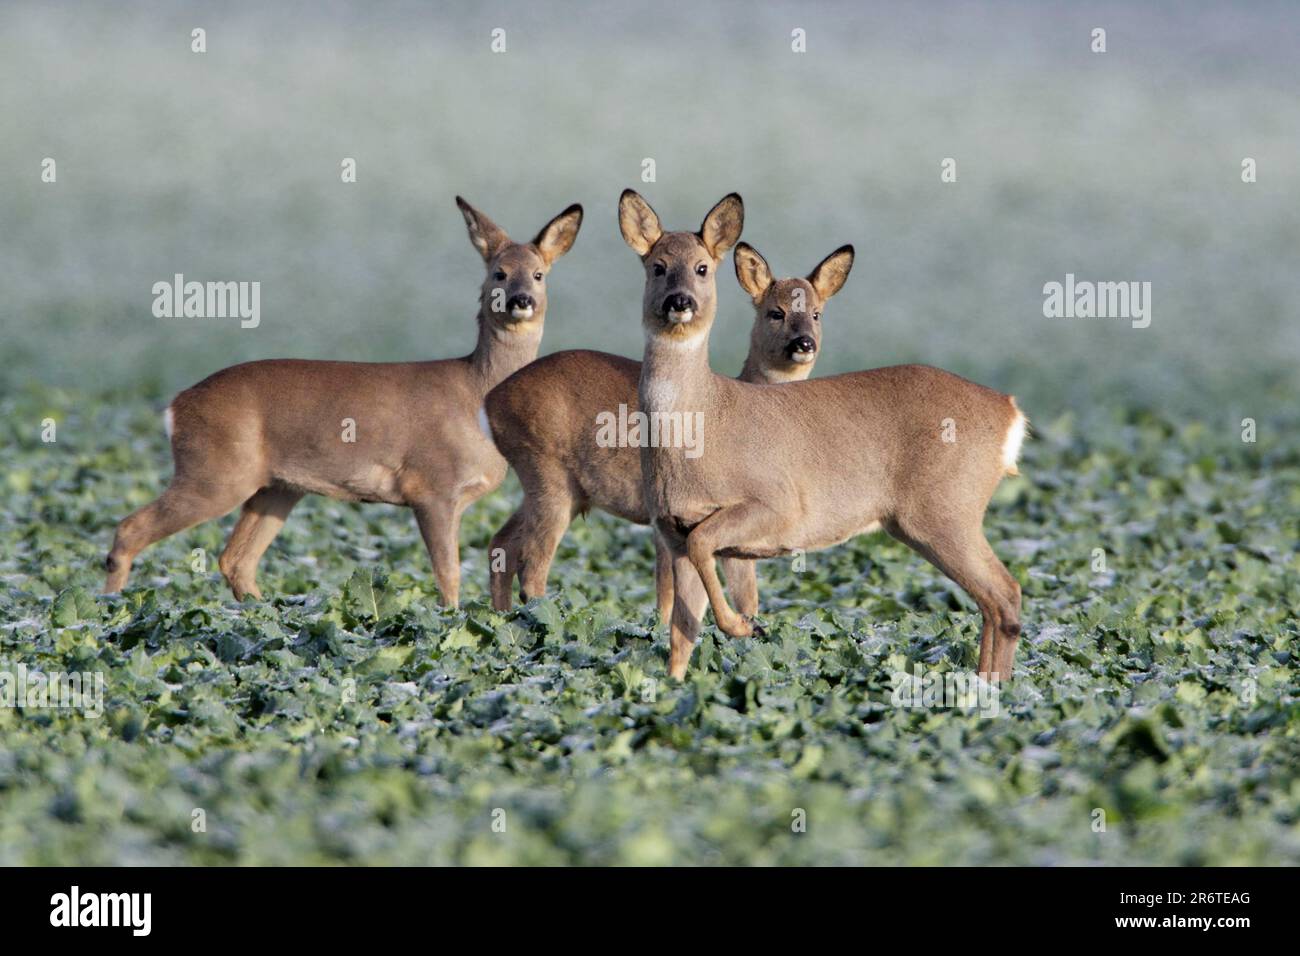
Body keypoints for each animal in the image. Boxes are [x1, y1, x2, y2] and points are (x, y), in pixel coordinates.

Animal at [103, 197, 583, 606]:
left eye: (539, 274)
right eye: (498, 273)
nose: (521, 300)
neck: (476, 394)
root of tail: (176, 406)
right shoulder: (433, 486)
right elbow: (448, 575)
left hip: (276, 487)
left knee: (235, 559)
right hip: (214, 470)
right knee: (130, 529)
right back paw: (110, 609)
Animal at [483, 216, 854, 622]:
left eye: (817, 313)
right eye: (776, 312)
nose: (804, 344)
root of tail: (491, 401)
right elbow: (675, 593)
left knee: (501, 544)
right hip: (547, 478)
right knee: (533, 567)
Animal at [617, 189, 1028, 682]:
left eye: (701, 267)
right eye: (657, 266)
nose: (679, 302)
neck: (702, 424)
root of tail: (1008, 411)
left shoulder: (777, 503)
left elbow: (706, 567)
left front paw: (744, 627)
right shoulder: (672, 531)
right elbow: (681, 633)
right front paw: (674, 688)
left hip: (946, 509)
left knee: (1005, 593)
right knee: (993, 601)